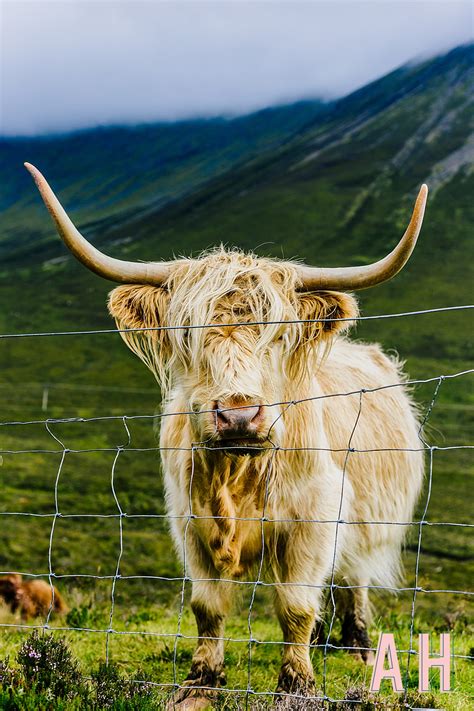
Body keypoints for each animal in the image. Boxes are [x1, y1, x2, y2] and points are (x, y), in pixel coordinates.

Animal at [25, 163, 427, 708]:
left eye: (279, 335)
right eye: (187, 333)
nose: (238, 416)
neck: (237, 476)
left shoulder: (316, 520)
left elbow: (295, 604)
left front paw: (297, 685)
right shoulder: (188, 521)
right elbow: (207, 605)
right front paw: (200, 682)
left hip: (364, 523)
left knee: (352, 583)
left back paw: (361, 650)